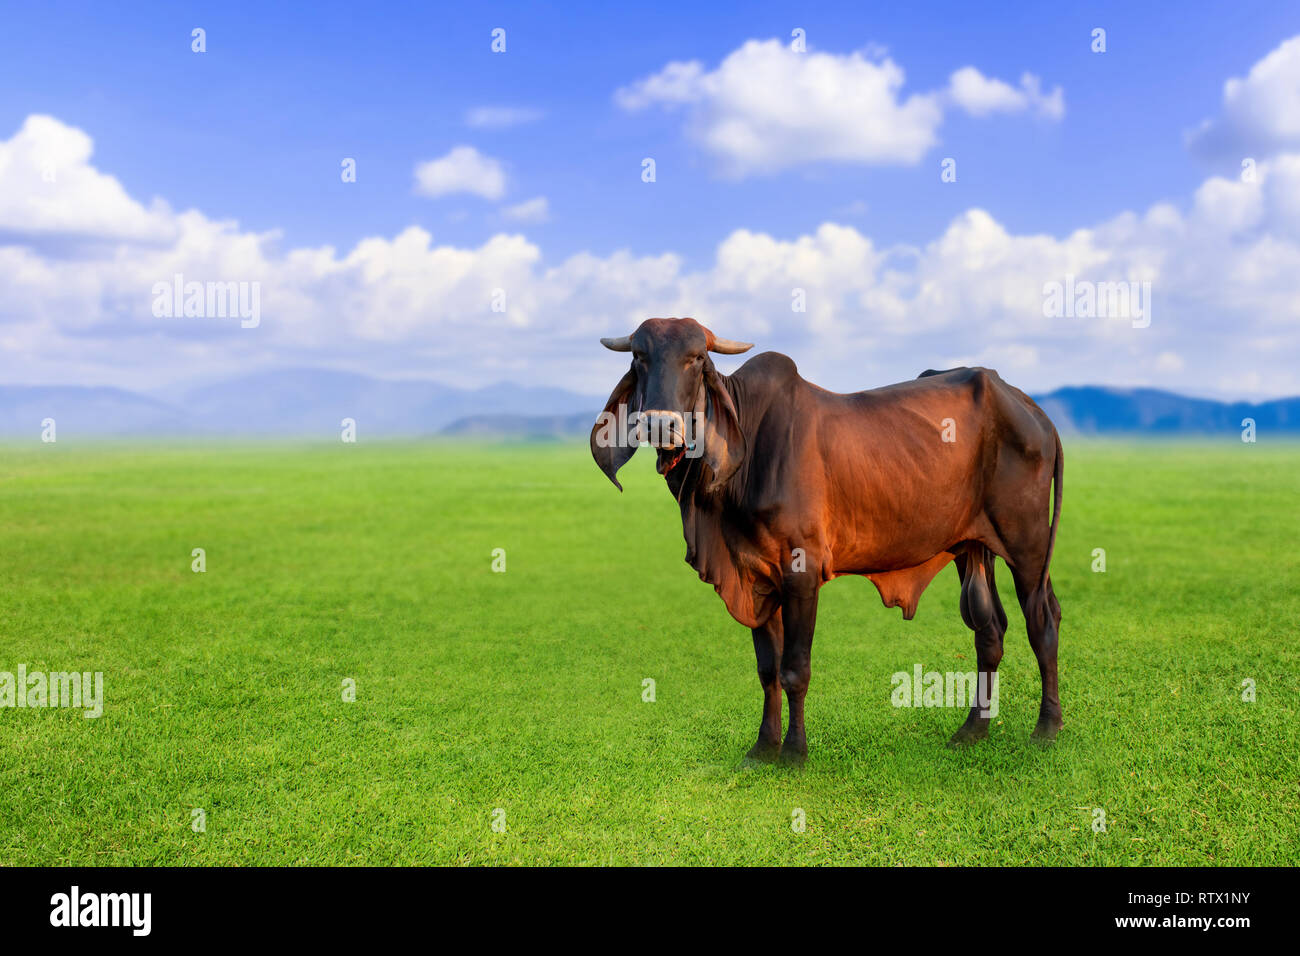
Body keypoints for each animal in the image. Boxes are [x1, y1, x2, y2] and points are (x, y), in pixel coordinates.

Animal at [591, 317, 1063, 765]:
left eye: (695, 359)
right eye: (639, 357)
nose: (659, 424)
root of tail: (1028, 406)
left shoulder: (801, 574)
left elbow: (794, 669)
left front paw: (794, 753)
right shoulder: (756, 577)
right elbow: (768, 670)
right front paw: (763, 748)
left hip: (1027, 545)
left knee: (1042, 620)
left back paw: (1047, 728)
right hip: (971, 547)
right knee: (990, 631)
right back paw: (972, 731)